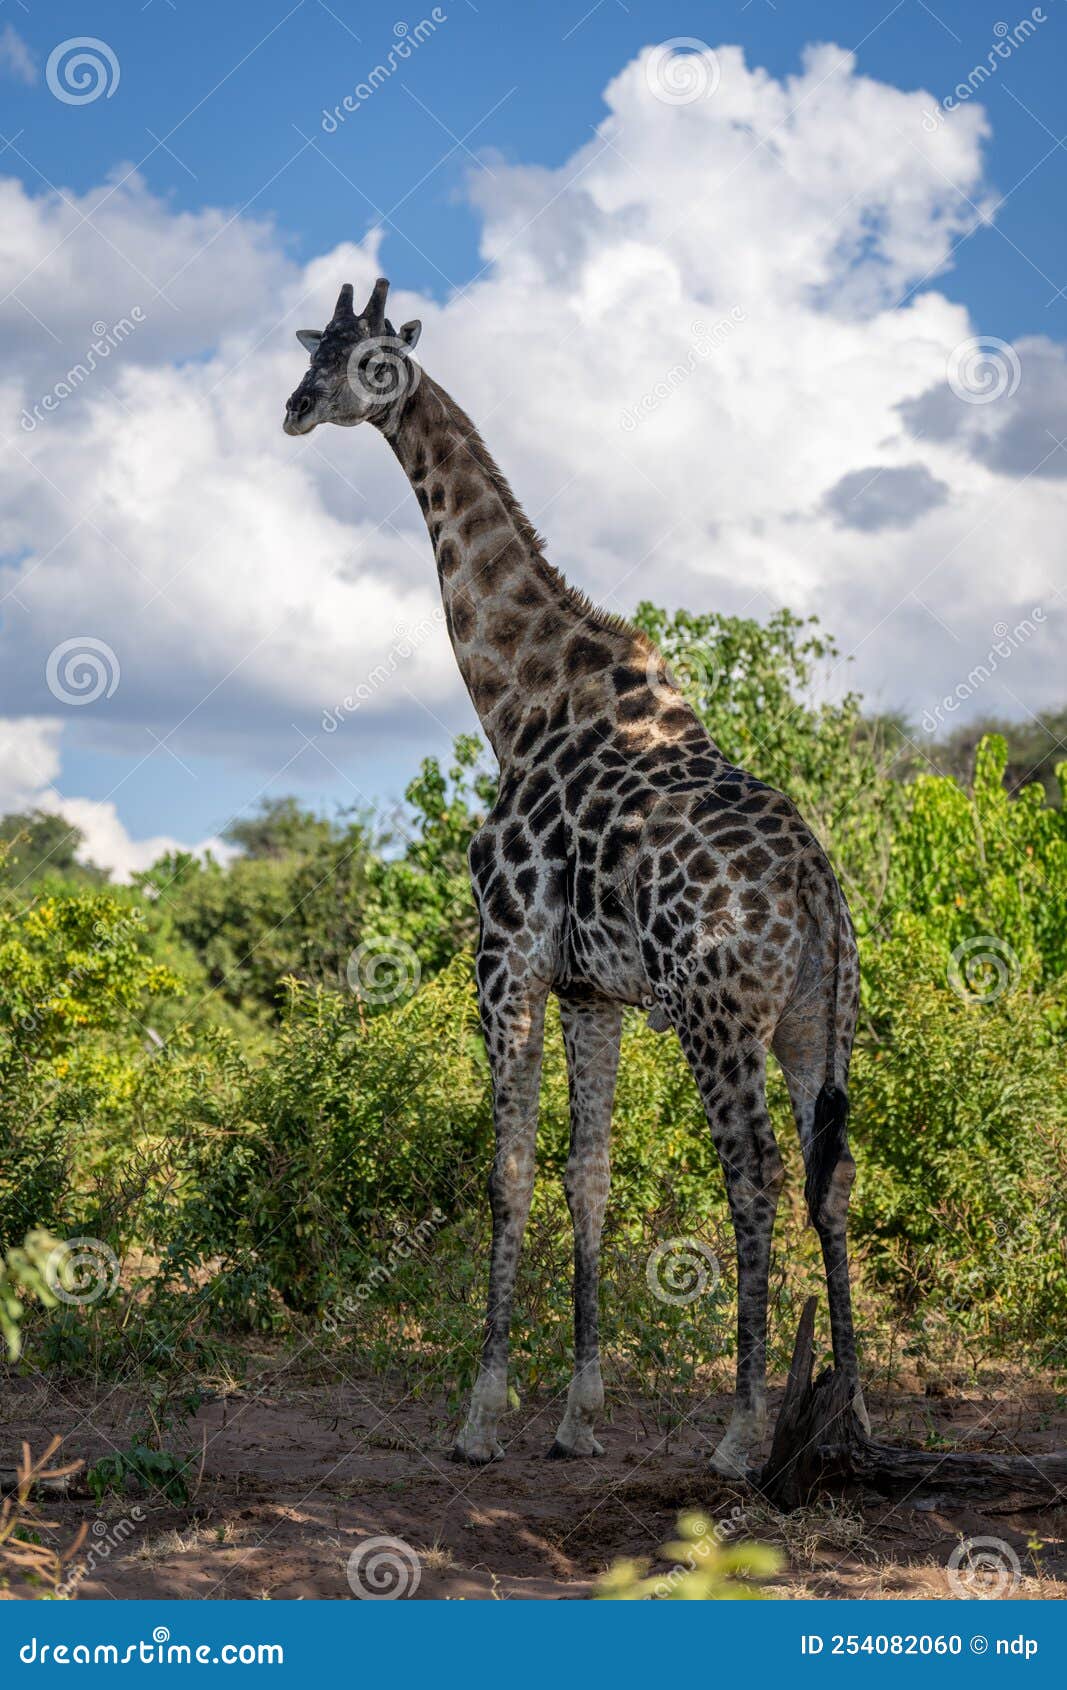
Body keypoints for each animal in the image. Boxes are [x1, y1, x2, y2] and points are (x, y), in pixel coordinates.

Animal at [284, 279, 870, 1476]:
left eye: (364, 361)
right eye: (312, 348)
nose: (294, 407)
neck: (515, 702)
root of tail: (818, 889)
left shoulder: (502, 954)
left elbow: (506, 1170)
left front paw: (479, 1415)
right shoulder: (592, 989)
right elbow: (584, 1173)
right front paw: (575, 1412)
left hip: (716, 1011)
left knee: (753, 1173)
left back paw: (740, 1432)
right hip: (814, 1019)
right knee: (828, 1175)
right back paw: (850, 1416)